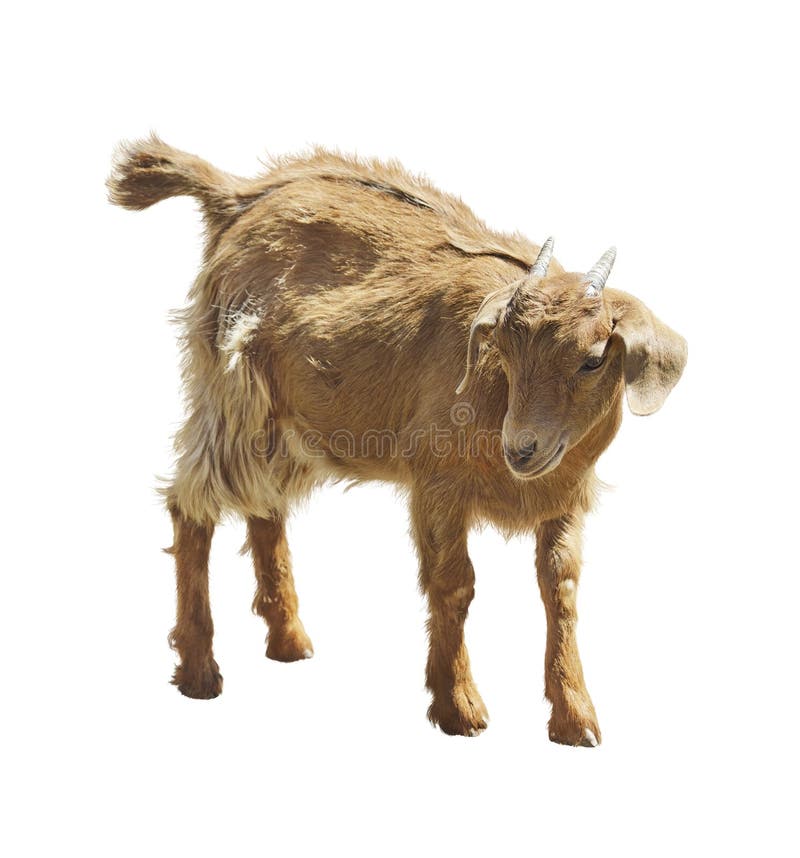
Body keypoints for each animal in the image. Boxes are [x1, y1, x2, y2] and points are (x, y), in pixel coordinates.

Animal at [108, 136, 687, 743]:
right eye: (503, 346)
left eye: (594, 360)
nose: (522, 448)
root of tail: (239, 197)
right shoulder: (437, 484)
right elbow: (455, 583)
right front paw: (459, 708)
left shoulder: (564, 498)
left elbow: (561, 588)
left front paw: (575, 718)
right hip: (231, 392)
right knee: (192, 504)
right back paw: (200, 671)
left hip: (291, 423)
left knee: (264, 505)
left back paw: (288, 641)